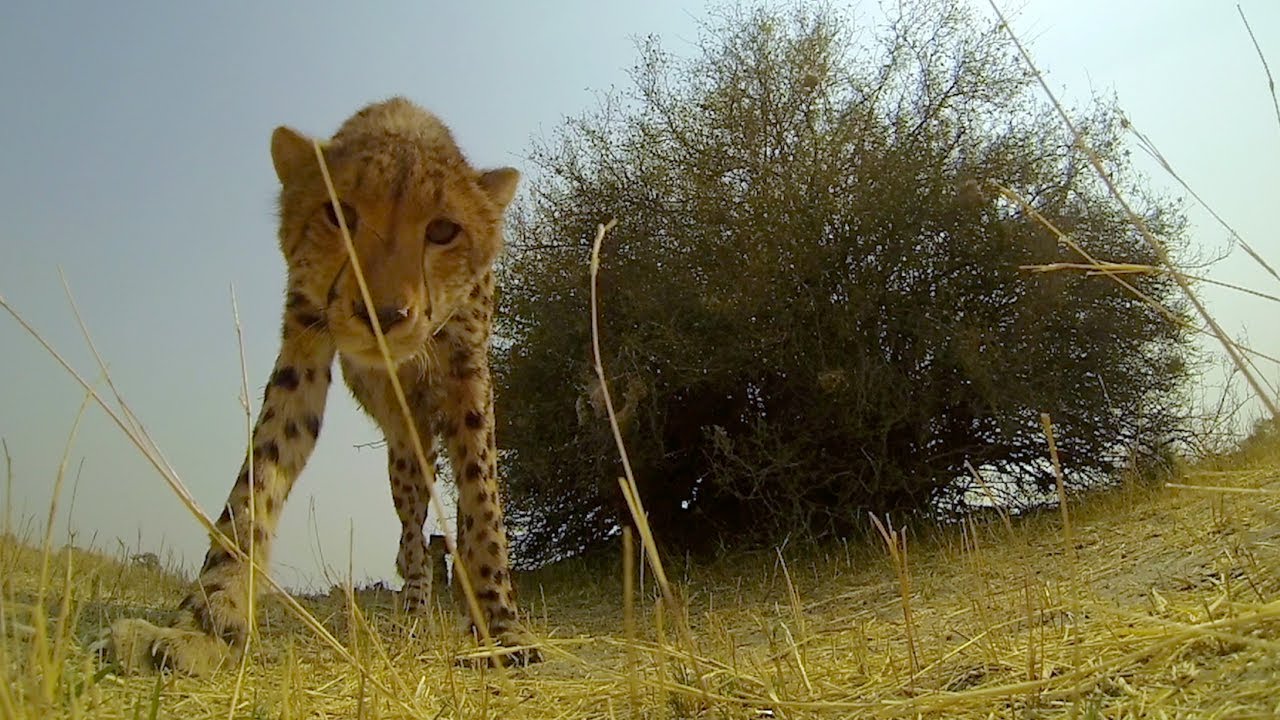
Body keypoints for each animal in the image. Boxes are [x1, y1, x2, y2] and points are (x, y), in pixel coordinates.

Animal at [98, 97, 539, 675]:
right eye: (339, 215)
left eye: (444, 230)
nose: (383, 314)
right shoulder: (303, 345)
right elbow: (257, 479)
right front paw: (207, 623)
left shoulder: (469, 374)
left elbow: (483, 502)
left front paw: (502, 626)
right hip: (406, 450)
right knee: (413, 540)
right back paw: (413, 615)